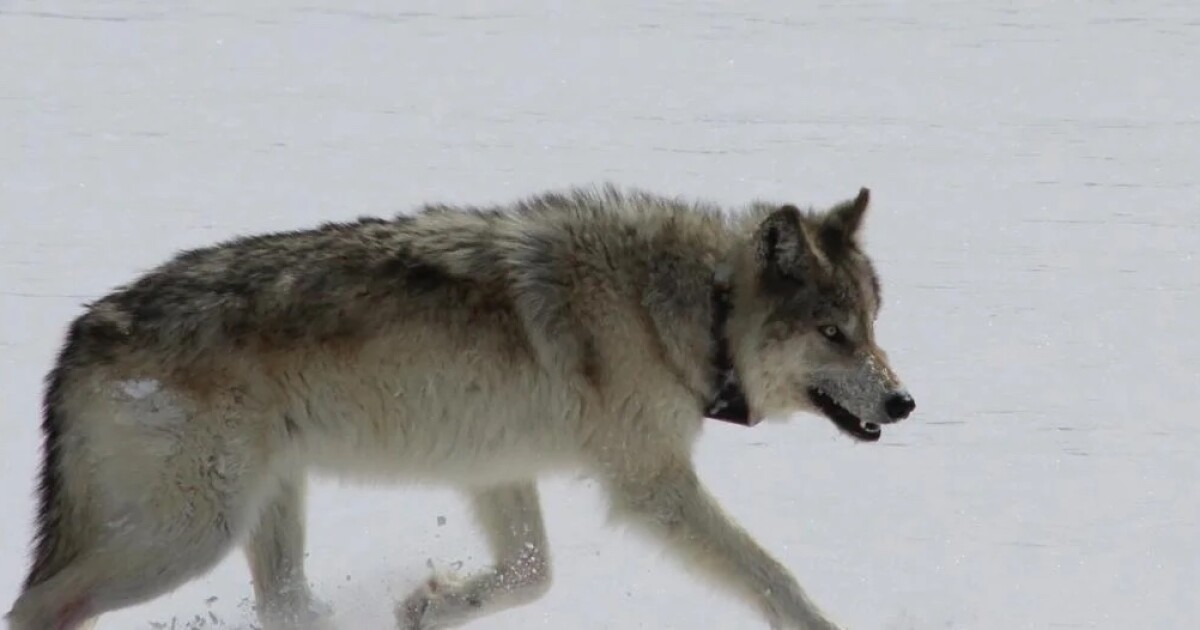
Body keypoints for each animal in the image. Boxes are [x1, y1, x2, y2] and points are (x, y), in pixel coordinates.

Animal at [6, 184, 915, 630]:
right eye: (833, 333)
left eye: (874, 326)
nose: (905, 402)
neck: (695, 309)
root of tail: (82, 329)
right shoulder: (652, 487)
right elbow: (776, 580)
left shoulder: (497, 472)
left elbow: (531, 577)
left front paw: (430, 606)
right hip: (189, 534)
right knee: (38, 604)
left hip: (261, 515)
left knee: (285, 608)